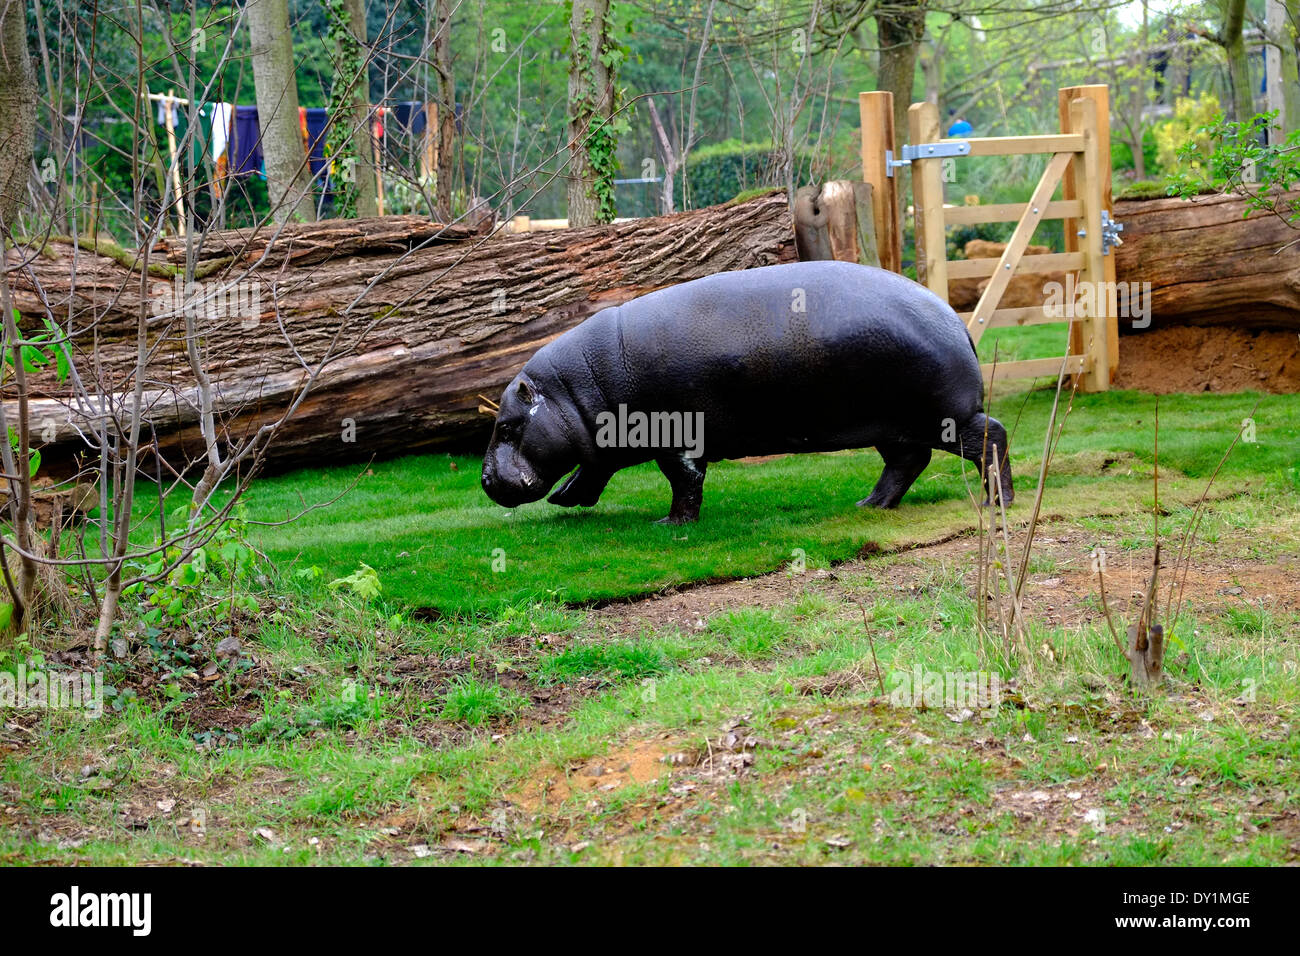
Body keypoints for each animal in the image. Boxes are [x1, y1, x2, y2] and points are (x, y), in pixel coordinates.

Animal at [481, 260, 1013, 523]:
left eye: (506, 426)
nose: (485, 481)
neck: (572, 389)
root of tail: (953, 318)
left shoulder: (675, 436)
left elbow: (683, 480)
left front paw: (670, 526)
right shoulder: (603, 443)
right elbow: (591, 472)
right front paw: (565, 501)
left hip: (945, 416)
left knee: (991, 438)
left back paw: (998, 503)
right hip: (890, 423)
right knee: (907, 461)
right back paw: (868, 506)